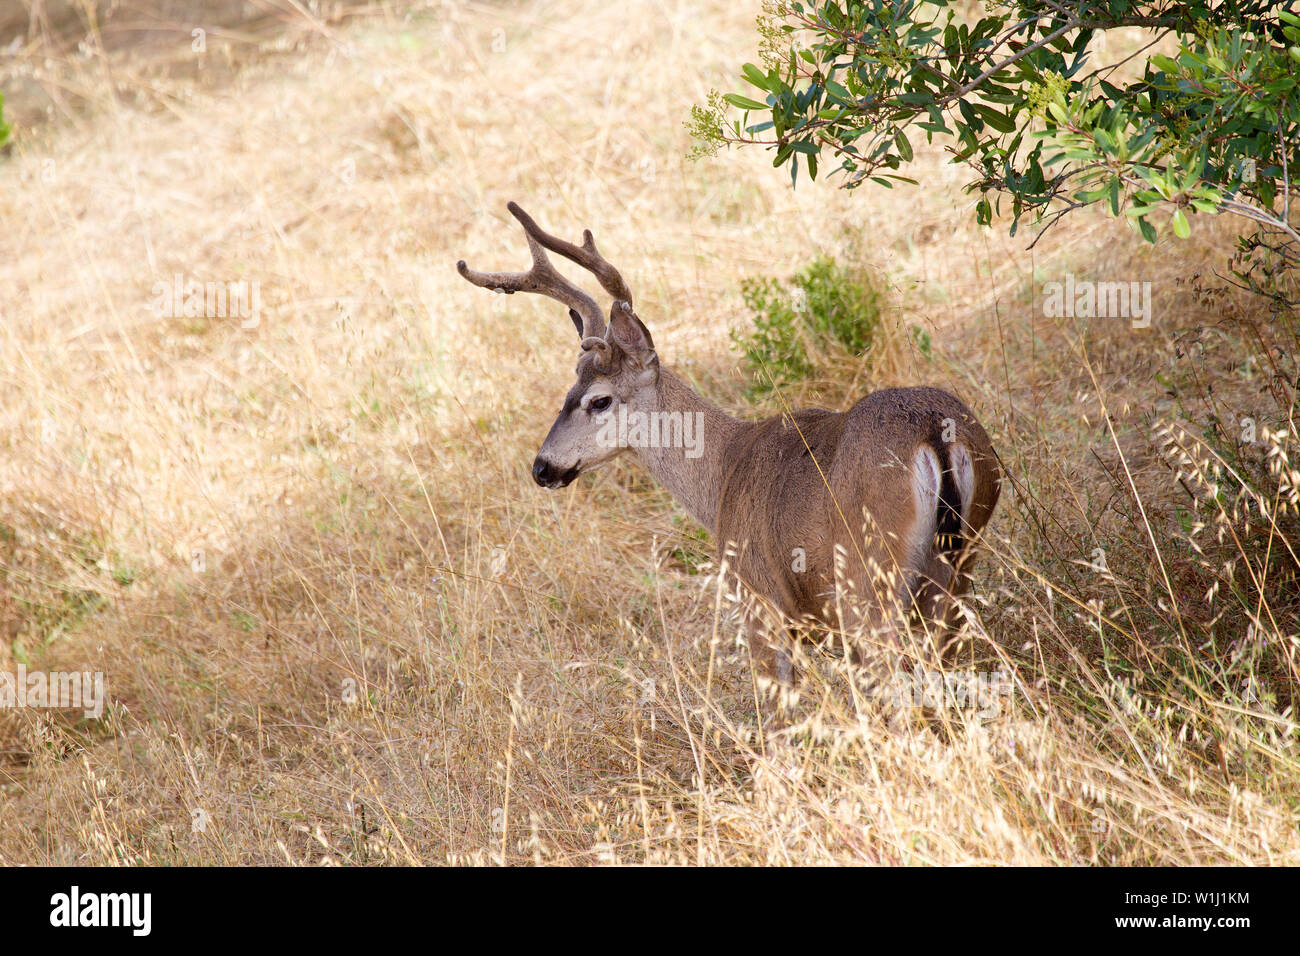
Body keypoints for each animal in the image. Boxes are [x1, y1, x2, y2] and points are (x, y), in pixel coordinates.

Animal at [458, 202, 1001, 729]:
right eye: (568, 391)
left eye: (599, 400)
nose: (542, 467)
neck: (723, 472)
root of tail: (933, 430)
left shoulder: (759, 600)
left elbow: (779, 723)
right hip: (960, 562)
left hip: (869, 582)